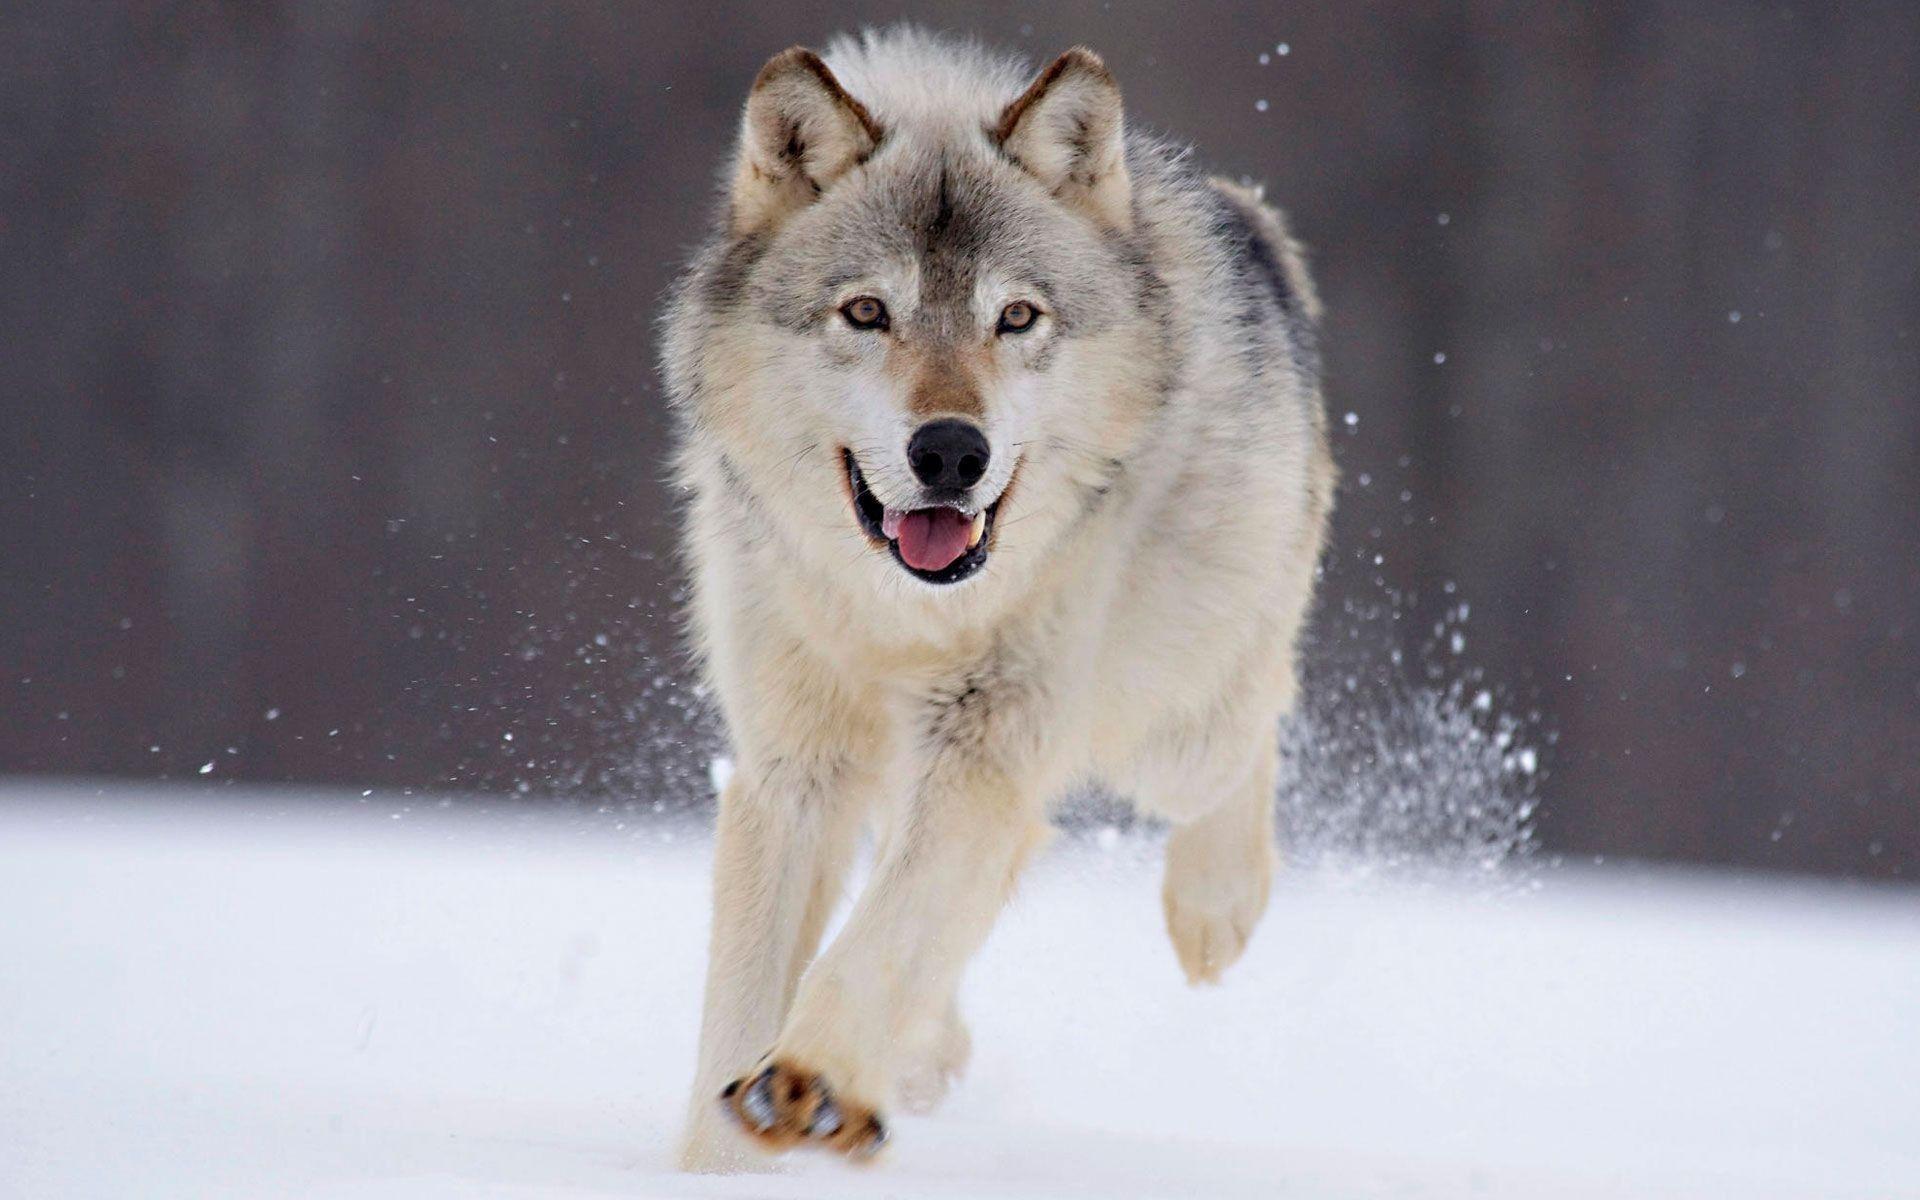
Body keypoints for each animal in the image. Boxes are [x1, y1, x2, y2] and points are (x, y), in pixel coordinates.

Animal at [662, 27, 1334, 1170]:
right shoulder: (793, 770)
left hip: (1168, 727)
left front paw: (812, 1080)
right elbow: (745, 1003)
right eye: (867, 313)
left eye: (1016, 317)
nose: (950, 452)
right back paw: (925, 1055)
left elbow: (881, 938)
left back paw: (1215, 910)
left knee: (1253, 722)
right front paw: (730, 1154)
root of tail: (1248, 220)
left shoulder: (987, 745)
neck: (902, 618)